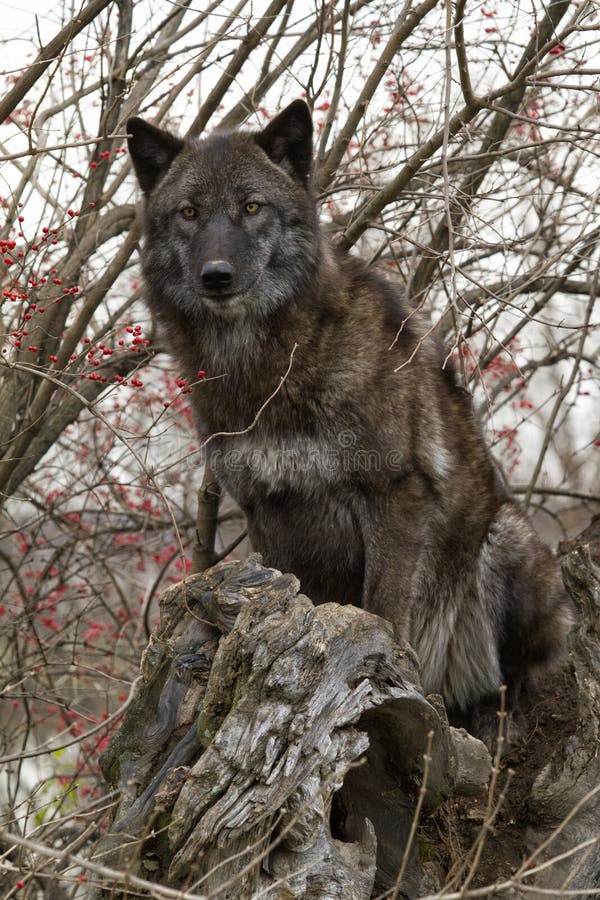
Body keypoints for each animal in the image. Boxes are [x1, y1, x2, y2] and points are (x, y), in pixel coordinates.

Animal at [127, 100, 571, 736]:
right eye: (189, 213)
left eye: (251, 207)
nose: (216, 275)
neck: (268, 369)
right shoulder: (267, 510)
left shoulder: (394, 493)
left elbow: (383, 611)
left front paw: (389, 676)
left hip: (503, 543)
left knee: (514, 682)